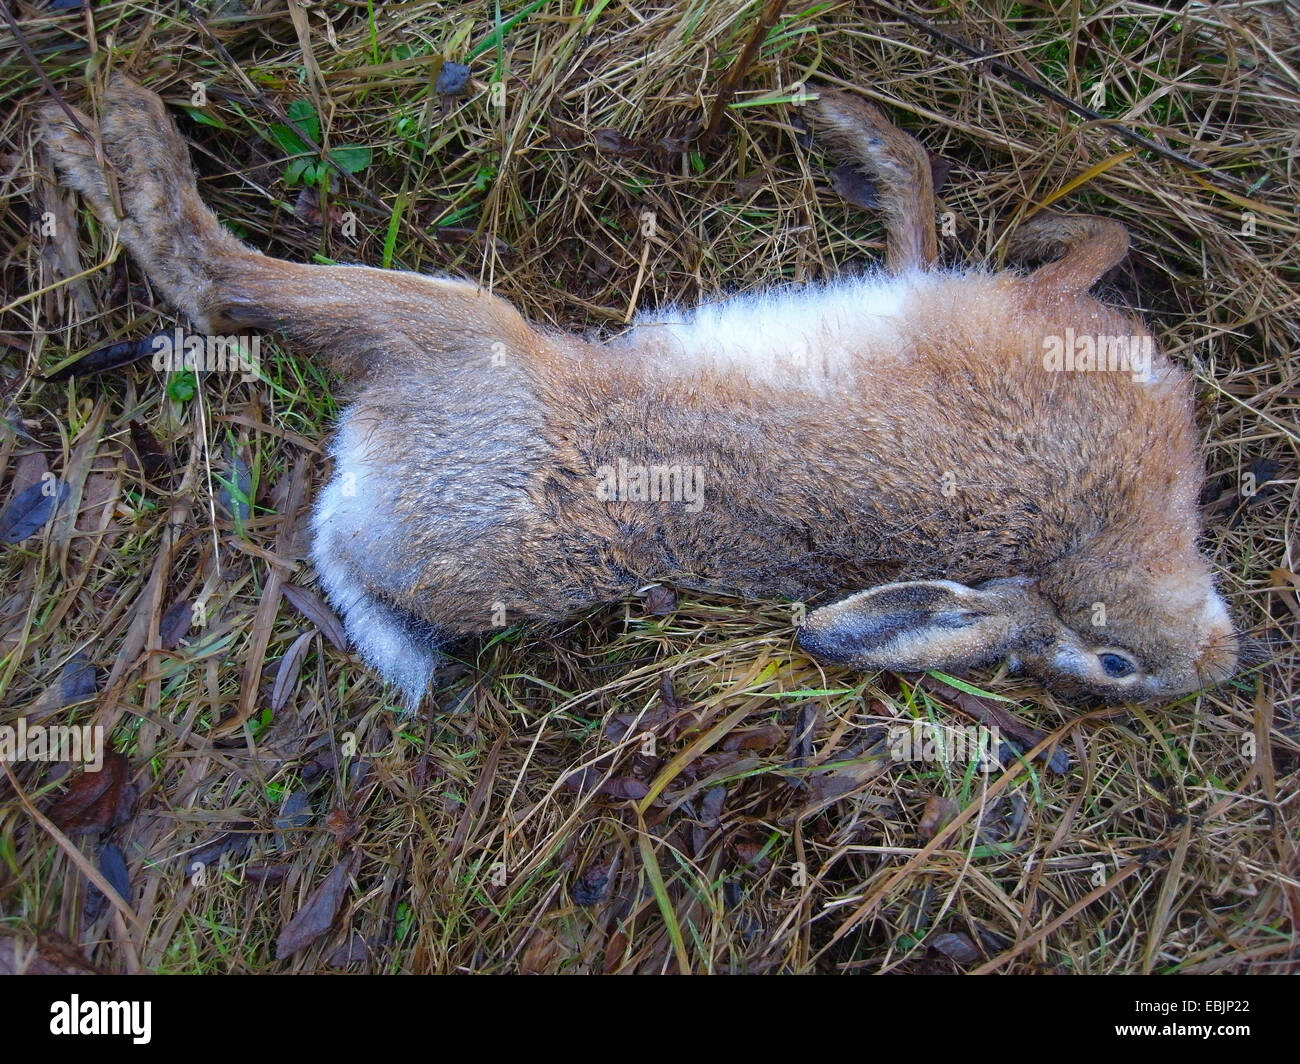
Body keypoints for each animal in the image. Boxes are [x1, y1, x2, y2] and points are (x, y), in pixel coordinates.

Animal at [39, 76, 1238, 708]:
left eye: (1113, 665)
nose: (1226, 660)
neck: (1097, 540)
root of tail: (357, 534)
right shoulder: (999, 304)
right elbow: (971, 223)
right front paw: (854, 133)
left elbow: (1053, 244)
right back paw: (100, 129)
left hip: (451, 327)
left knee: (212, 285)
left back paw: (106, 133)